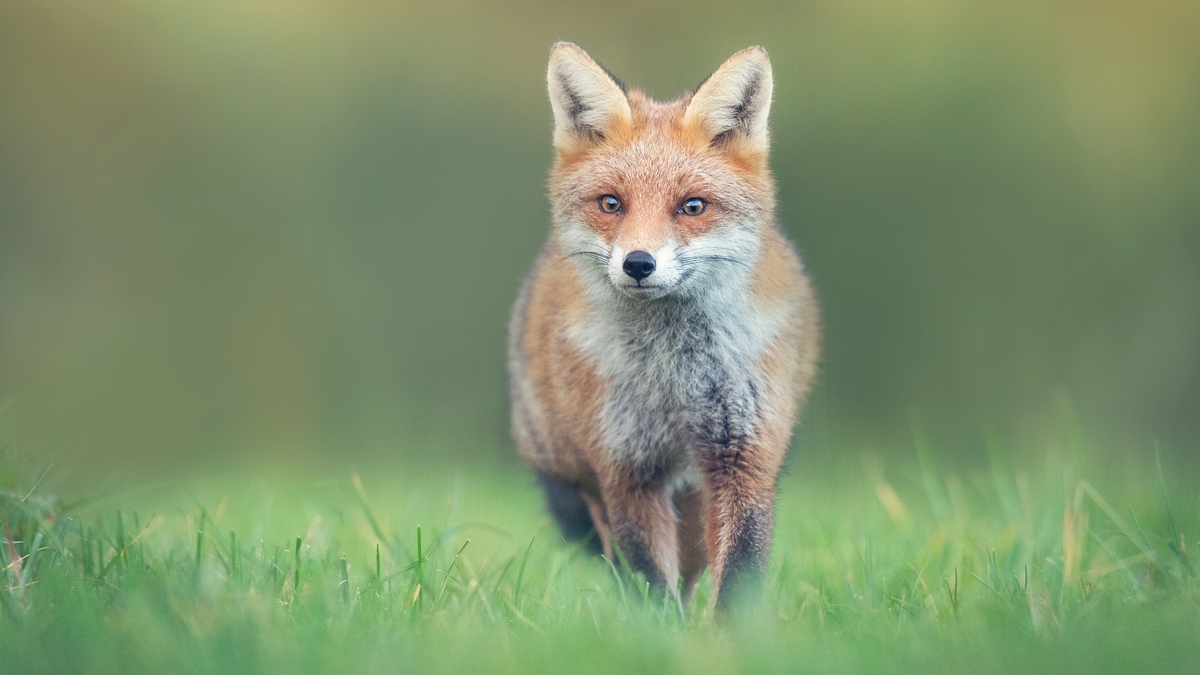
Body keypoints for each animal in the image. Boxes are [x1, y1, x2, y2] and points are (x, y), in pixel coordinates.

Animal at [508, 42, 820, 610]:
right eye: (611, 203)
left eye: (692, 206)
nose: (638, 263)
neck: (675, 374)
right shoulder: (627, 468)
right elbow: (650, 578)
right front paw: (658, 629)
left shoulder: (743, 455)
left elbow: (738, 572)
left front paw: (728, 634)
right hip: (586, 485)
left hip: (695, 494)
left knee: (694, 568)